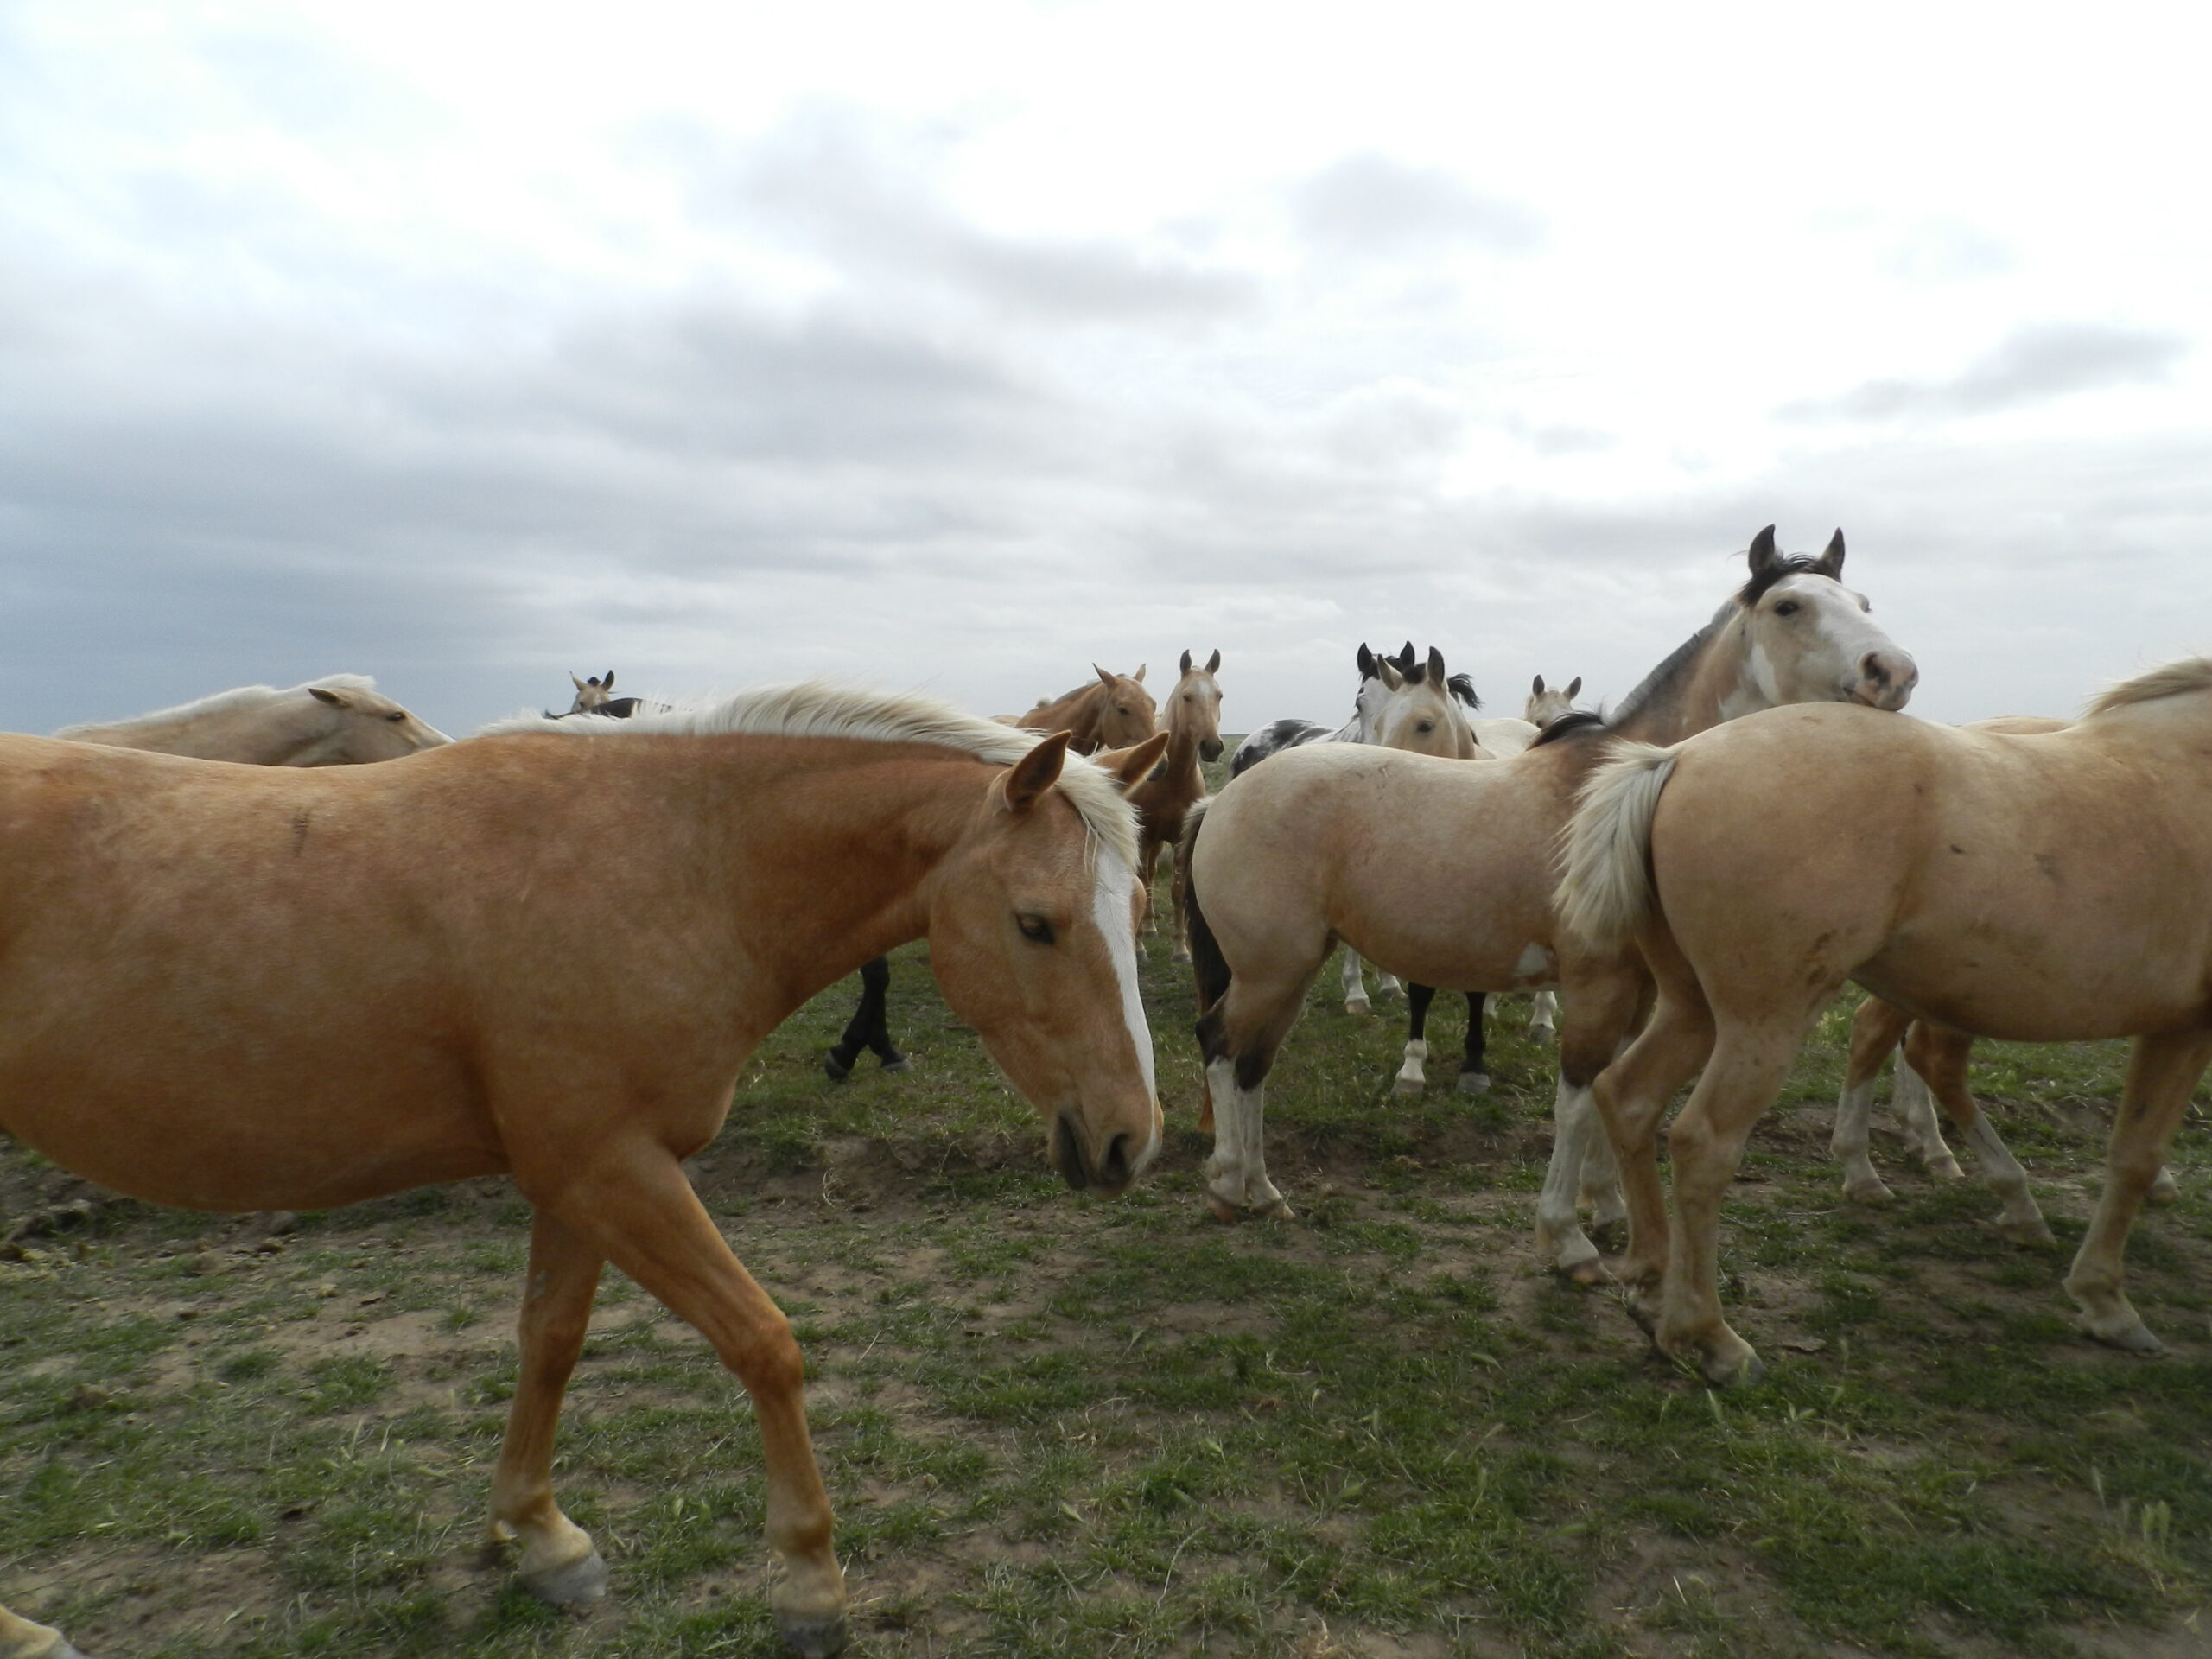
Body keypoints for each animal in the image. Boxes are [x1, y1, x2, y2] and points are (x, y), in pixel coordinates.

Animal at [0, 683, 1162, 1659]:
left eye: (1141, 911)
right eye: (1035, 923)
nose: (1127, 1139)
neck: (671, 863)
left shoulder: (575, 1177)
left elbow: (550, 1343)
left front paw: (543, 1539)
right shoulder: (610, 1169)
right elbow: (764, 1342)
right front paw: (810, 1586)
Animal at [1180, 529, 1916, 1244]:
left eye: (1864, 603)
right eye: (1788, 606)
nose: (1895, 673)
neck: (1622, 794)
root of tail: (1221, 800)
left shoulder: (1638, 995)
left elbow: (1615, 1099)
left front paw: (1608, 1209)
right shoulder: (1596, 986)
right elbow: (1579, 1102)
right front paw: (1567, 1237)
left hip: (1291, 967)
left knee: (1252, 1063)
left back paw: (1264, 1192)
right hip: (1270, 968)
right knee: (1219, 1044)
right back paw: (1226, 1186)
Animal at [1556, 658, 2212, 1386]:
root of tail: (1678, 757)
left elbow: (2131, 1152)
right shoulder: (2188, 1029)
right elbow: (2135, 1156)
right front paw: (2107, 1301)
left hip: (1692, 1008)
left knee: (1629, 1098)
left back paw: (1651, 1282)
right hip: (1764, 1023)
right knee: (1705, 1142)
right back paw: (1711, 1335)